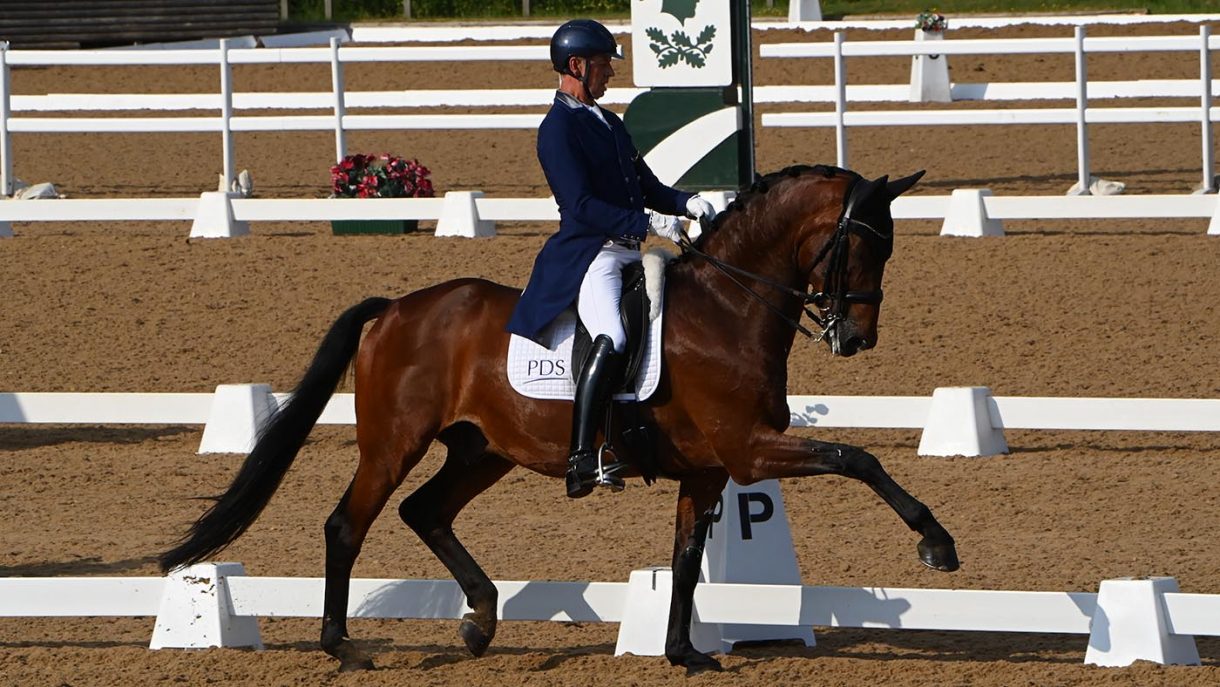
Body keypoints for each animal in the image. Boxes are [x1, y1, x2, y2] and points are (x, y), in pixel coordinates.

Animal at [159, 164, 959, 675]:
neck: (729, 307)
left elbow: (686, 558)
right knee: (346, 525)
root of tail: (393, 310)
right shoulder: (748, 450)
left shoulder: (707, 469)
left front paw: (686, 653)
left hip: (482, 450)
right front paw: (937, 544)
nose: (857, 337)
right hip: (394, 442)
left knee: (426, 511)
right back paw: (345, 646)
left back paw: (480, 620)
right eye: (862, 243)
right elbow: (859, 459)